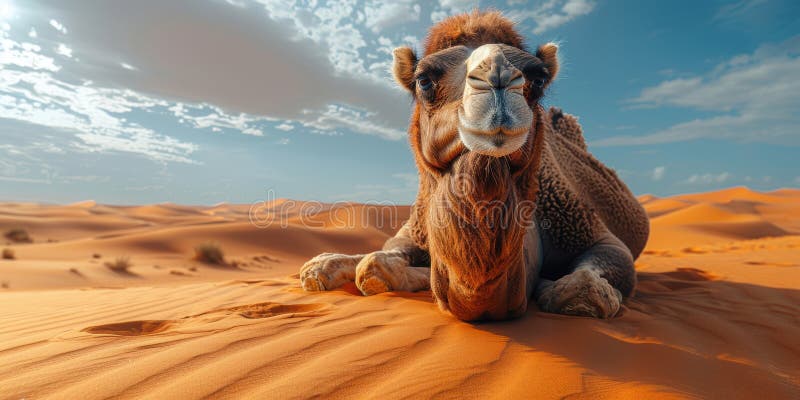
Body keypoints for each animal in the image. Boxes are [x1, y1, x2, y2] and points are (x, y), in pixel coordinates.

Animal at [300, 11, 649, 321]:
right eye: (424, 80)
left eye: (538, 79)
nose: (497, 78)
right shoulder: (414, 232)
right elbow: (377, 262)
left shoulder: (590, 230)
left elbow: (585, 285)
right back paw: (318, 268)